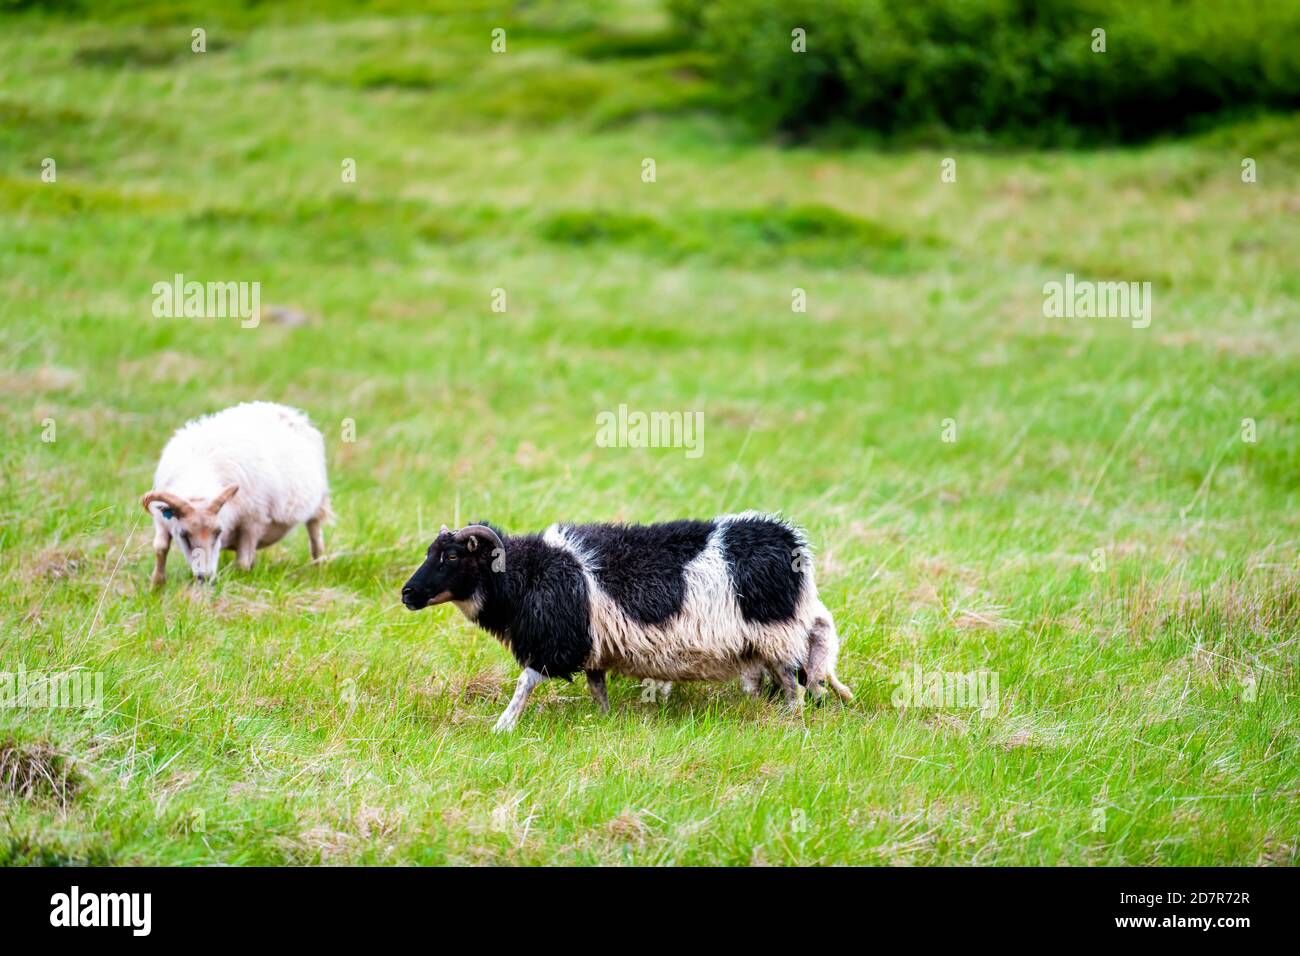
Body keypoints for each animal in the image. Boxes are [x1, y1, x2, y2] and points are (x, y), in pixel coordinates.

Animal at [140, 401, 332, 585]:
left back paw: (320, 569)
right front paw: (157, 585)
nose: (205, 577)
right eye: (184, 535)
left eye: (218, 532)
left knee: (315, 537)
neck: (198, 480)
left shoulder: (253, 523)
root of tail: (285, 409)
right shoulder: (161, 520)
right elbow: (160, 548)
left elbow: (242, 563)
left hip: (318, 504)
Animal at [400, 512, 851, 732]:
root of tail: (792, 543)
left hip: (777, 634)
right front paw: (603, 720)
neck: (526, 574)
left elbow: (524, 683)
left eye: (451, 556)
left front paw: (503, 726)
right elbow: (597, 687)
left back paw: (791, 721)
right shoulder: (594, 647)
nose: (407, 594)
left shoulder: (558, 640)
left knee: (792, 684)